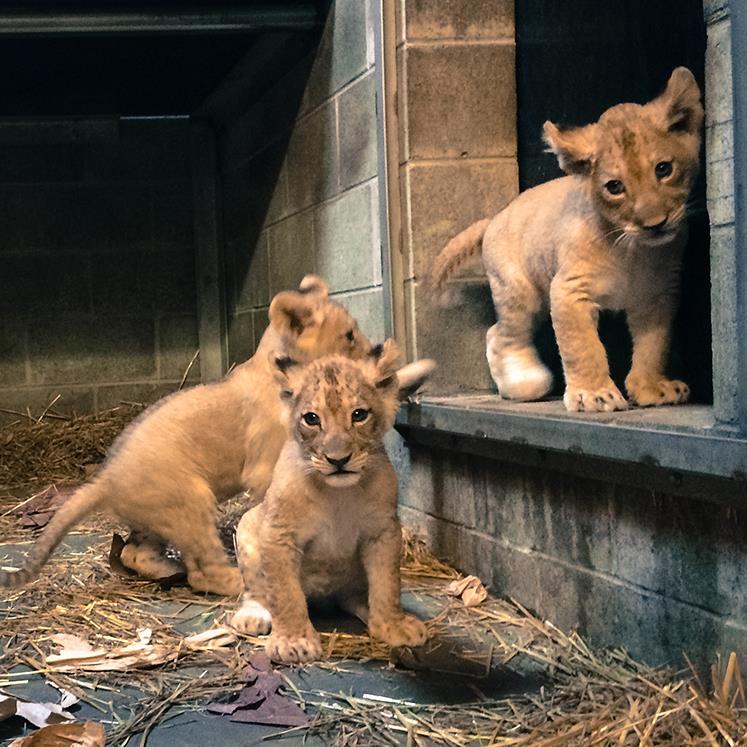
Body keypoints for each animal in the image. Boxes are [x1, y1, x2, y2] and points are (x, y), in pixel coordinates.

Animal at [0, 276, 382, 595]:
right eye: (349, 335)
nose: (374, 350)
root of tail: (104, 479)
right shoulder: (262, 468)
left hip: (155, 516)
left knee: (135, 553)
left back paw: (169, 571)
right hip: (191, 500)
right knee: (203, 572)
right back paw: (235, 581)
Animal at [229, 342, 433, 663]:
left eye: (359, 414)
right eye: (312, 418)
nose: (338, 460)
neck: (337, 494)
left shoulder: (383, 531)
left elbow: (387, 583)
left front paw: (393, 624)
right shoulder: (279, 533)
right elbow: (285, 593)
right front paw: (294, 641)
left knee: (357, 595)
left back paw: (371, 612)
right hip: (247, 526)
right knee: (257, 591)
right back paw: (254, 615)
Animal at [431, 67, 703, 412]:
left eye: (664, 169)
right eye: (615, 187)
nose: (654, 224)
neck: (634, 252)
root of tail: (493, 218)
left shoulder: (658, 295)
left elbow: (654, 345)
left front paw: (652, 388)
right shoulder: (568, 289)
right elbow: (582, 348)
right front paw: (594, 395)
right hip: (521, 293)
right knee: (500, 334)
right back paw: (524, 384)